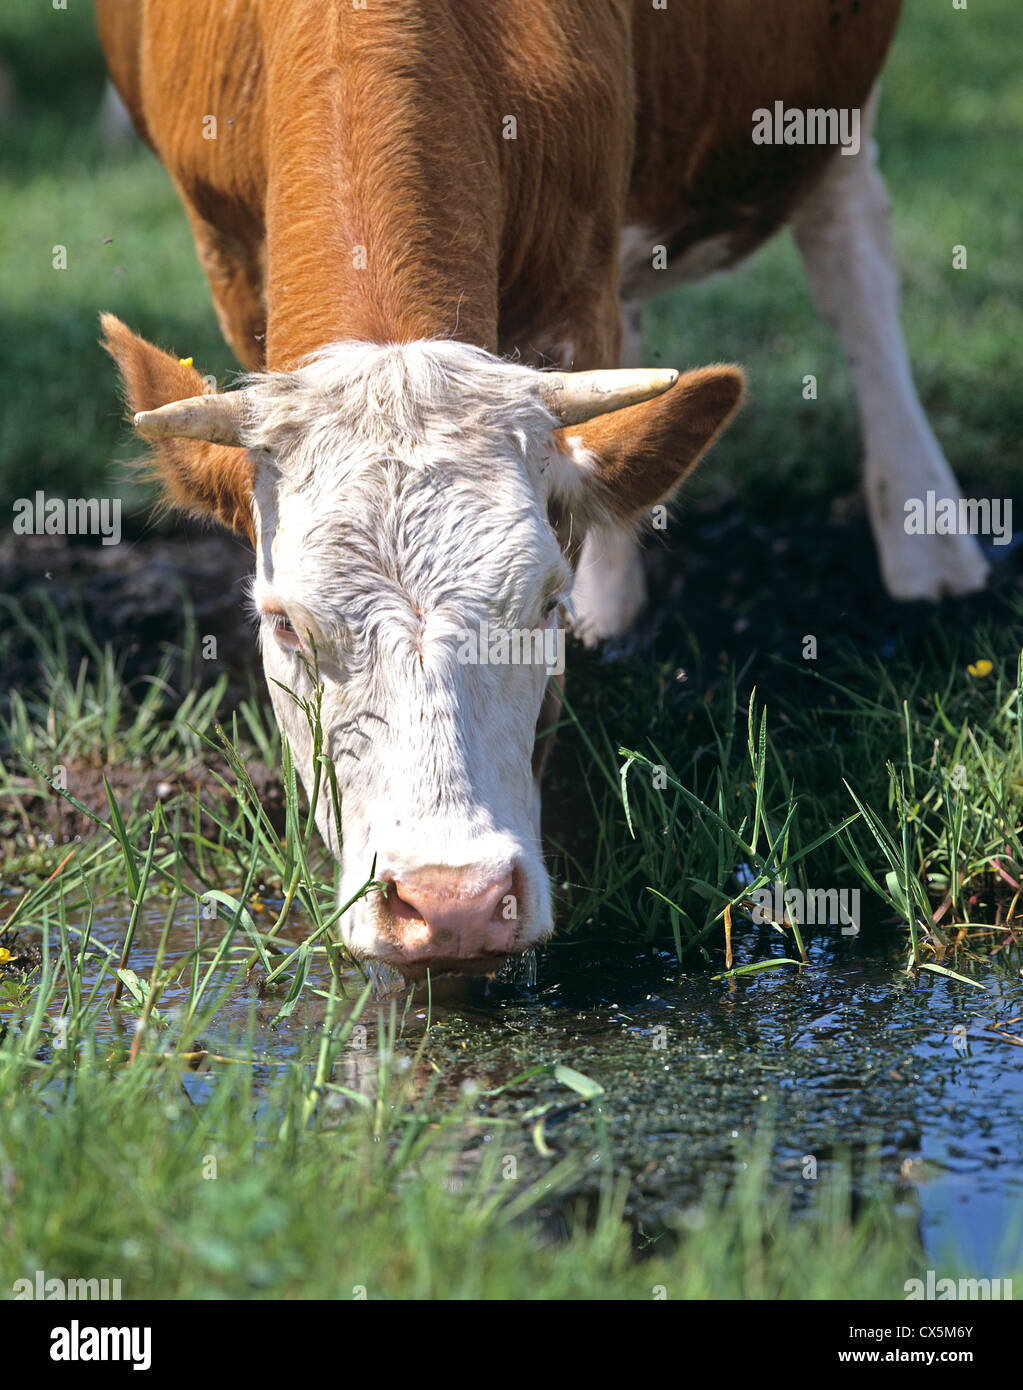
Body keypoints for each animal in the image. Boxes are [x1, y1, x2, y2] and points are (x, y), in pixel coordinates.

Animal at [95, 0, 987, 979]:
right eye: (284, 624)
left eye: (544, 605)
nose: (450, 902)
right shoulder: (226, 250)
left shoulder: (571, 277)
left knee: (849, 250)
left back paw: (925, 542)